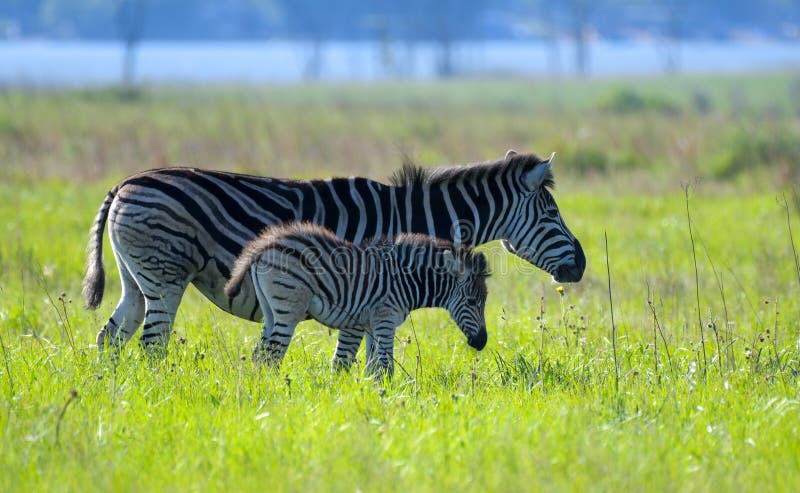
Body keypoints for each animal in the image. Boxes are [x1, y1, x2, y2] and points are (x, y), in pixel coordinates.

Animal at [83, 149, 584, 354]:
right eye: (552, 212)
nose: (580, 265)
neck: (411, 218)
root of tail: (127, 181)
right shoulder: (368, 287)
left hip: (136, 277)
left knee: (111, 337)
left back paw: (118, 397)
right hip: (165, 276)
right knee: (152, 343)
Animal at [223, 222, 489, 375]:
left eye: (484, 302)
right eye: (472, 302)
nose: (482, 343)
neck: (405, 280)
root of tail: (265, 244)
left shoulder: (371, 324)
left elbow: (372, 367)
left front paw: (372, 396)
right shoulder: (385, 319)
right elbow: (386, 366)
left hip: (270, 310)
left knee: (260, 354)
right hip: (288, 307)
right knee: (273, 355)